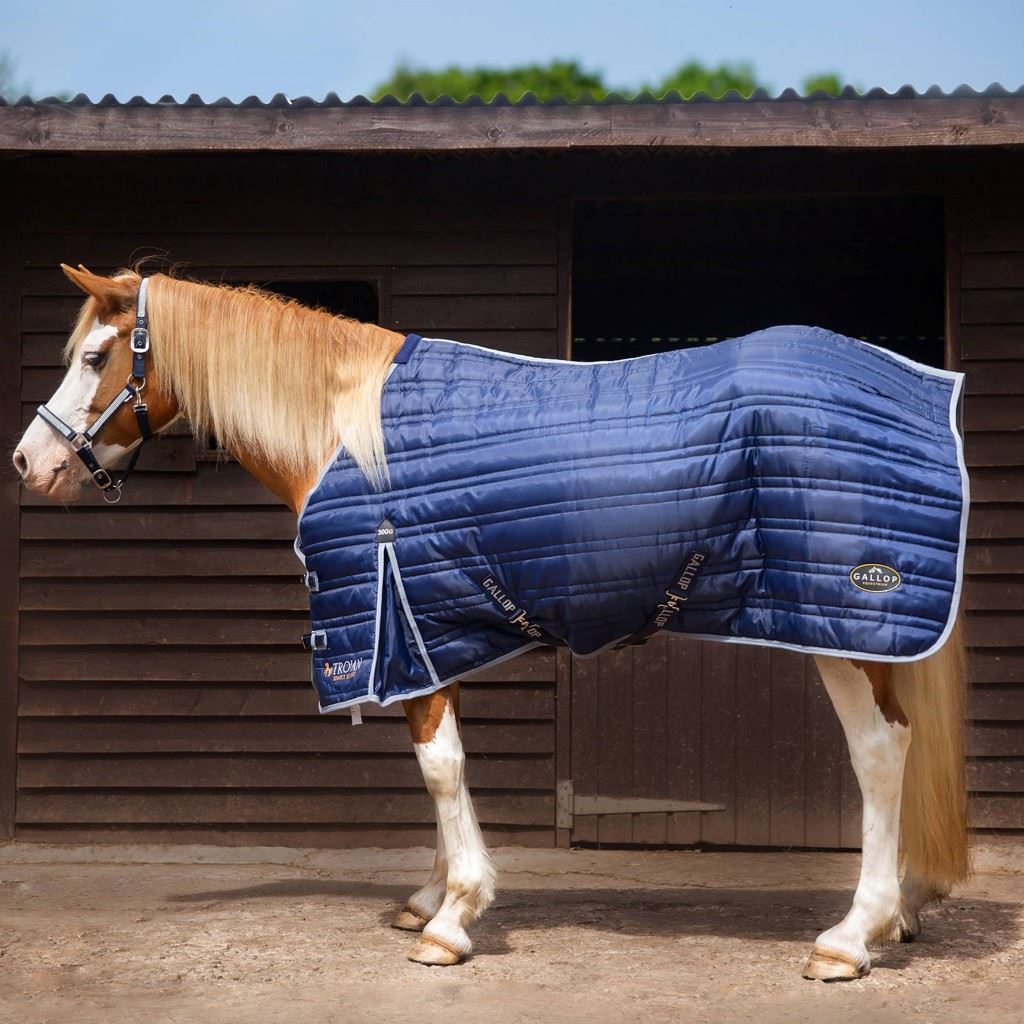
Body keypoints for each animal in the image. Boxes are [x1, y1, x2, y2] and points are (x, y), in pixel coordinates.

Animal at [13, 265, 970, 979]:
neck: (347, 434)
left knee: (881, 752)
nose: (30, 461)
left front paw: (455, 919)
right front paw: (432, 897)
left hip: (843, 629)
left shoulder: (398, 616)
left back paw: (852, 936)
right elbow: (443, 765)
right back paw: (902, 912)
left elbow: (439, 766)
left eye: (95, 356)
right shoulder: (429, 627)